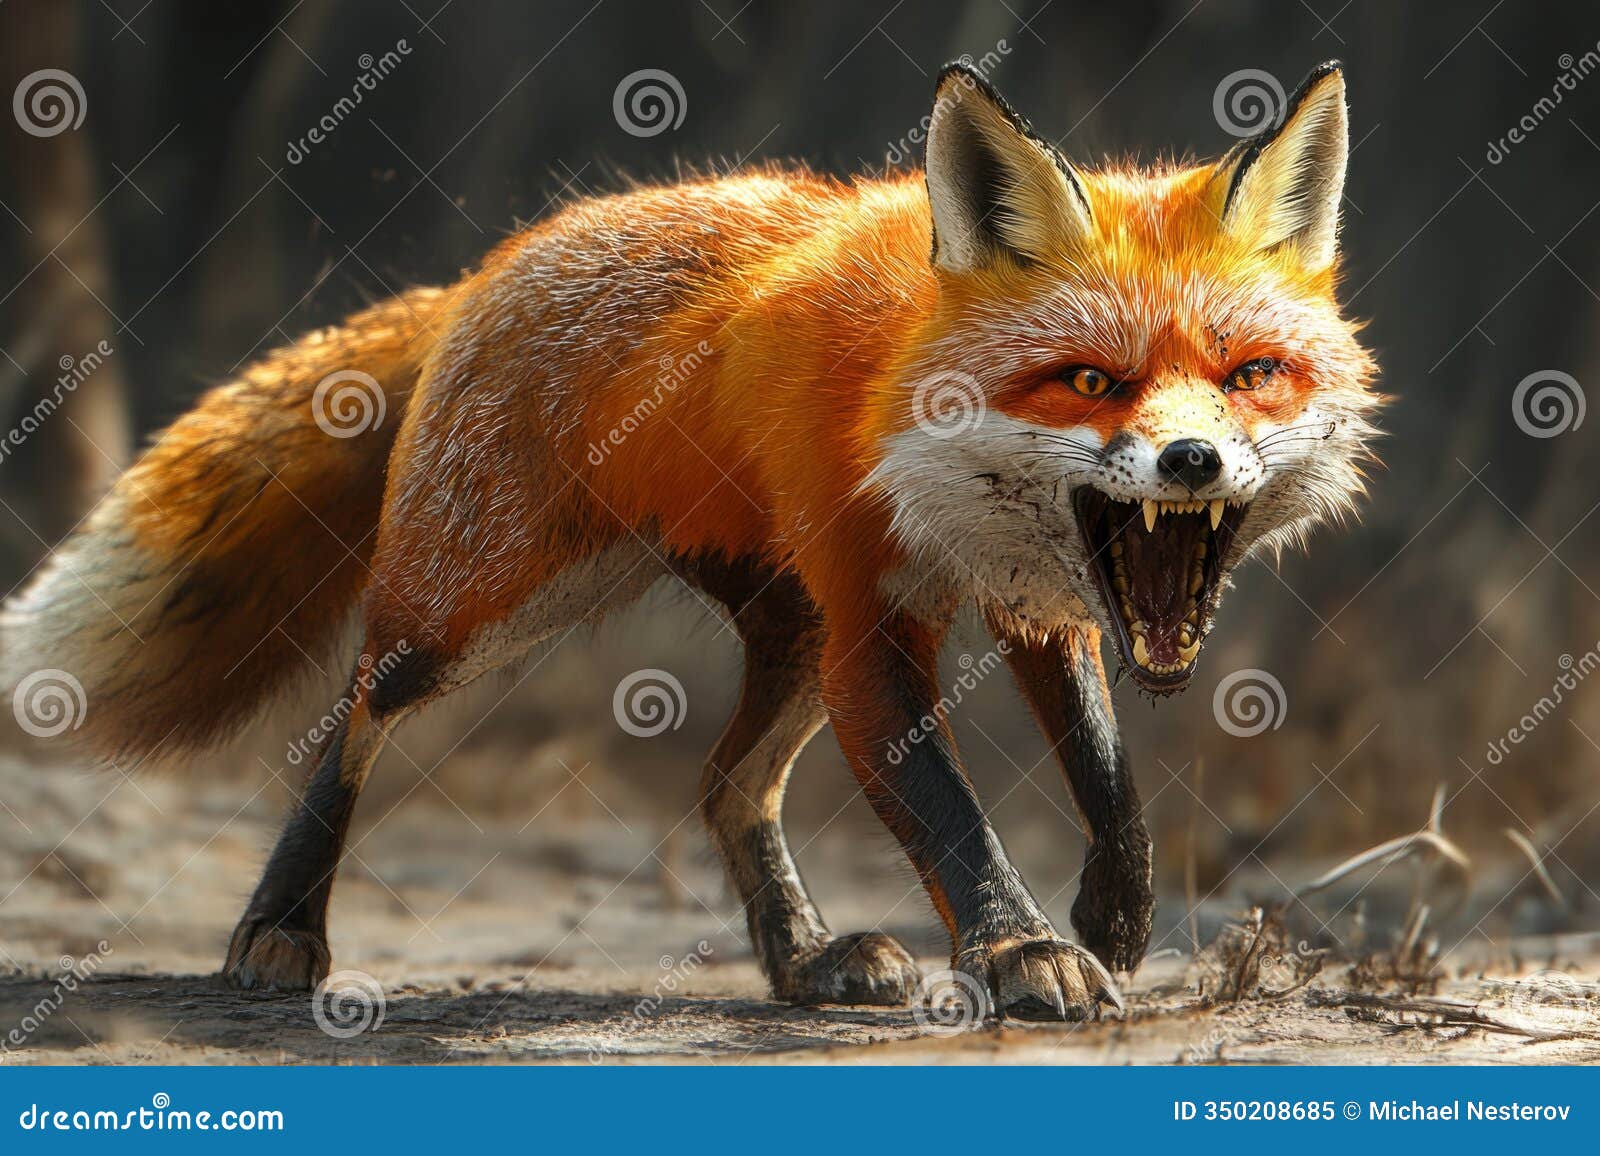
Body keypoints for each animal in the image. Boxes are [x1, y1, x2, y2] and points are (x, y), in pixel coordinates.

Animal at [2, 60, 1379, 1021]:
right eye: (1089, 382)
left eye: (1251, 375)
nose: (1191, 463)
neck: (899, 401)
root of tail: (489, 268)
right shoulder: (870, 623)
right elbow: (950, 816)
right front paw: (1021, 947)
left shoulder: (1026, 600)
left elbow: (1107, 775)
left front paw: (1113, 912)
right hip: (473, 611)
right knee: (353, 712)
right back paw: (283, 924)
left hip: (779, 631)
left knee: (724, 782)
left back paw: (802, 957)